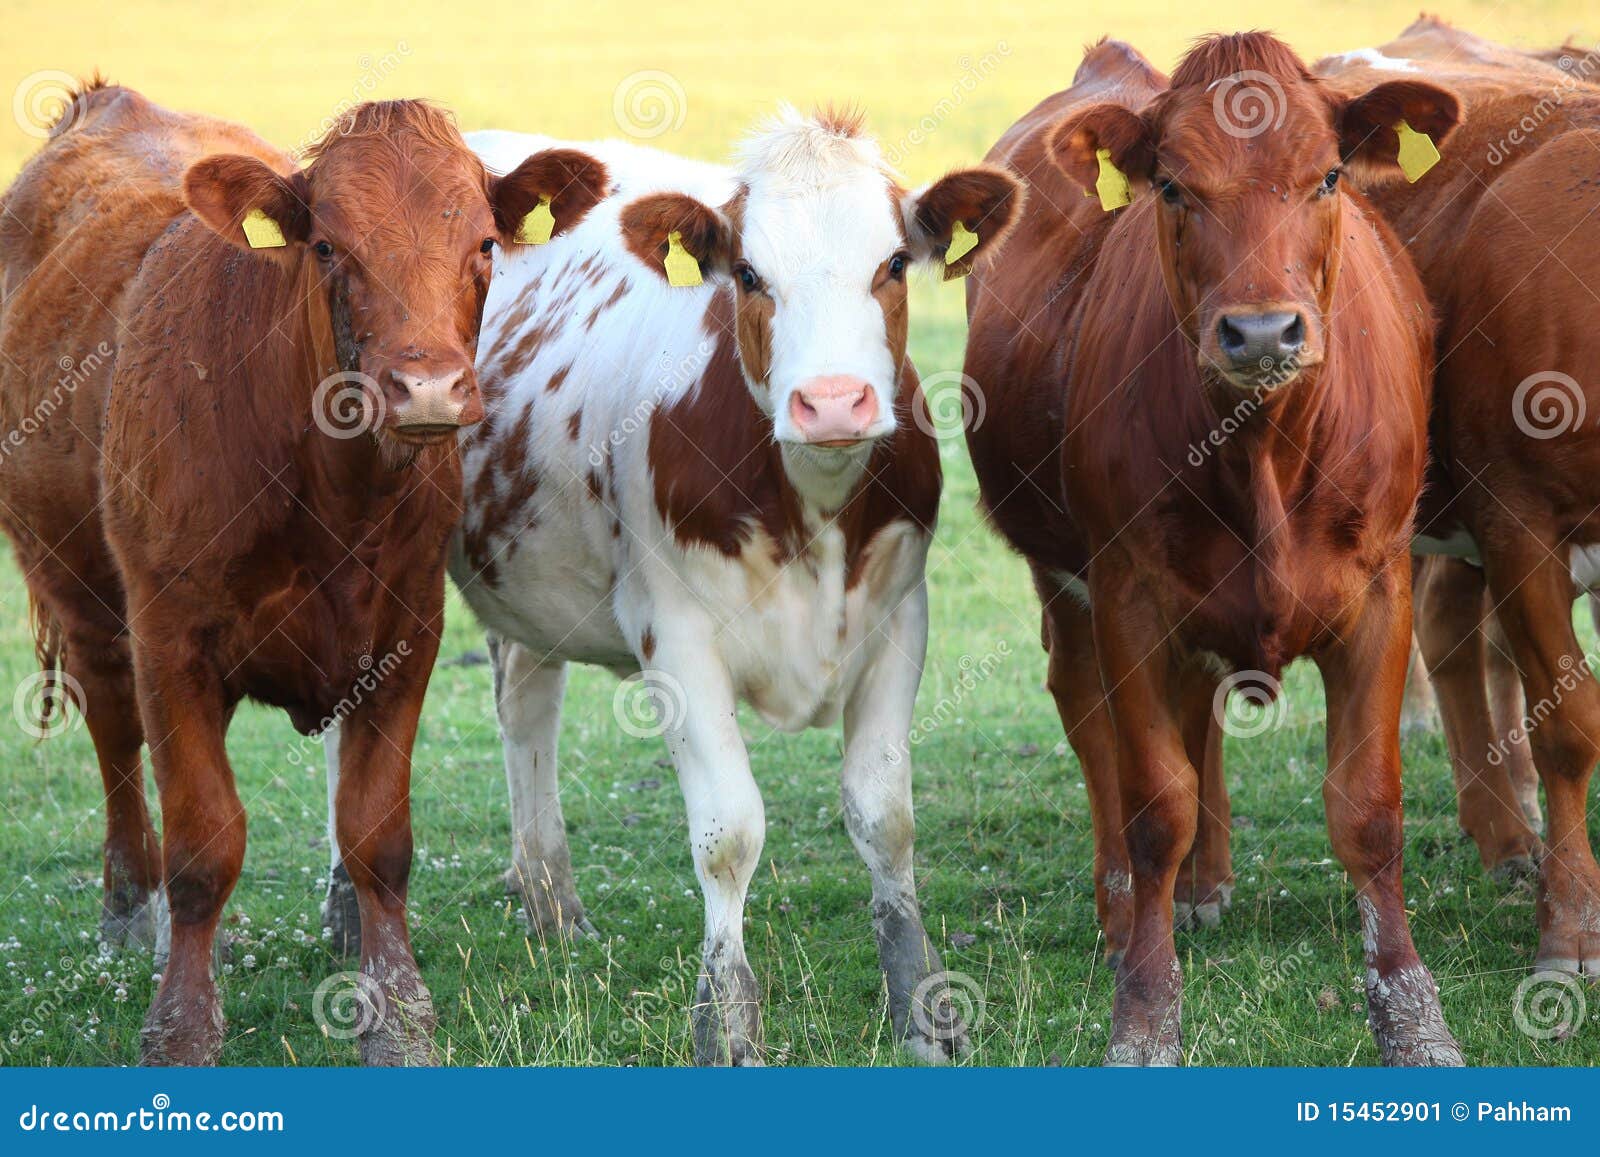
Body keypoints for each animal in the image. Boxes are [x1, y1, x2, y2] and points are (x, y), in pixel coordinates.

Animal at [0, 81, 607, 1064]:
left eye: (484, 243)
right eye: (328, 246)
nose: (426, 389)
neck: (329, 487)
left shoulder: (406, 631)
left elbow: (378, 835)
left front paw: (398, 1014)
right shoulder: (169, 641)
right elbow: (203, 843)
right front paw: (181, 1025)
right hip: (77, 591)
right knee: (119, 748)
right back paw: (132, 914)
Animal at [405, 109, 1022, 1065]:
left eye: (892, 263)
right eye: (749, 273)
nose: (833, 402)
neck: (811, 502)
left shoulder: (899, 619)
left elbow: (885, 817)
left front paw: (920, 1007)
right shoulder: (678, 640)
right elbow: (730, 833)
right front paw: (727, 1023)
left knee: (527, 704)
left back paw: (553, 902)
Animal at [962, 33, 1464, 1064]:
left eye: (1328, 176)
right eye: (1171, 186)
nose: (1262, 330)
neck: (1260, 451)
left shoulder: (1381, 593)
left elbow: (1368, 809)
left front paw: (1412, 1015)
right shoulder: (1128, 595)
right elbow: (1158, 801)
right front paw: (1145, 1015)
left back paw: (1204, 882)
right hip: (1065, 581)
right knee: (1090, 716)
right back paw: (1127, 913)